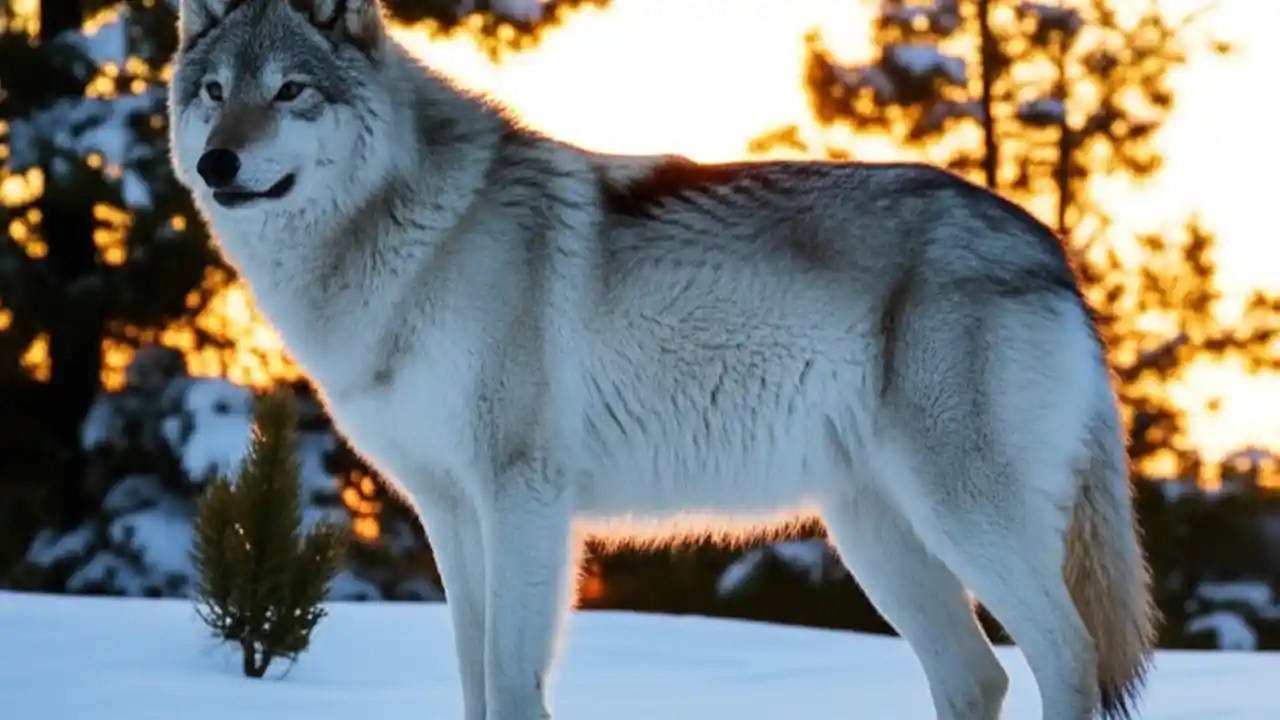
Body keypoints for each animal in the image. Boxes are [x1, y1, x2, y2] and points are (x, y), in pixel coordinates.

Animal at [167, 0, 1159, 718]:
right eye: (213, 90)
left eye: (291, 91)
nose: (217, 164)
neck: (414, 230)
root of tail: (1051, 251)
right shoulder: (451, 513)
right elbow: (473, 680)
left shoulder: (524, 501)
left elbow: (510, 682)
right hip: (879, 537)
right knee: (978, 677)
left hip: (961, 518)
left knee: (1066, 655)